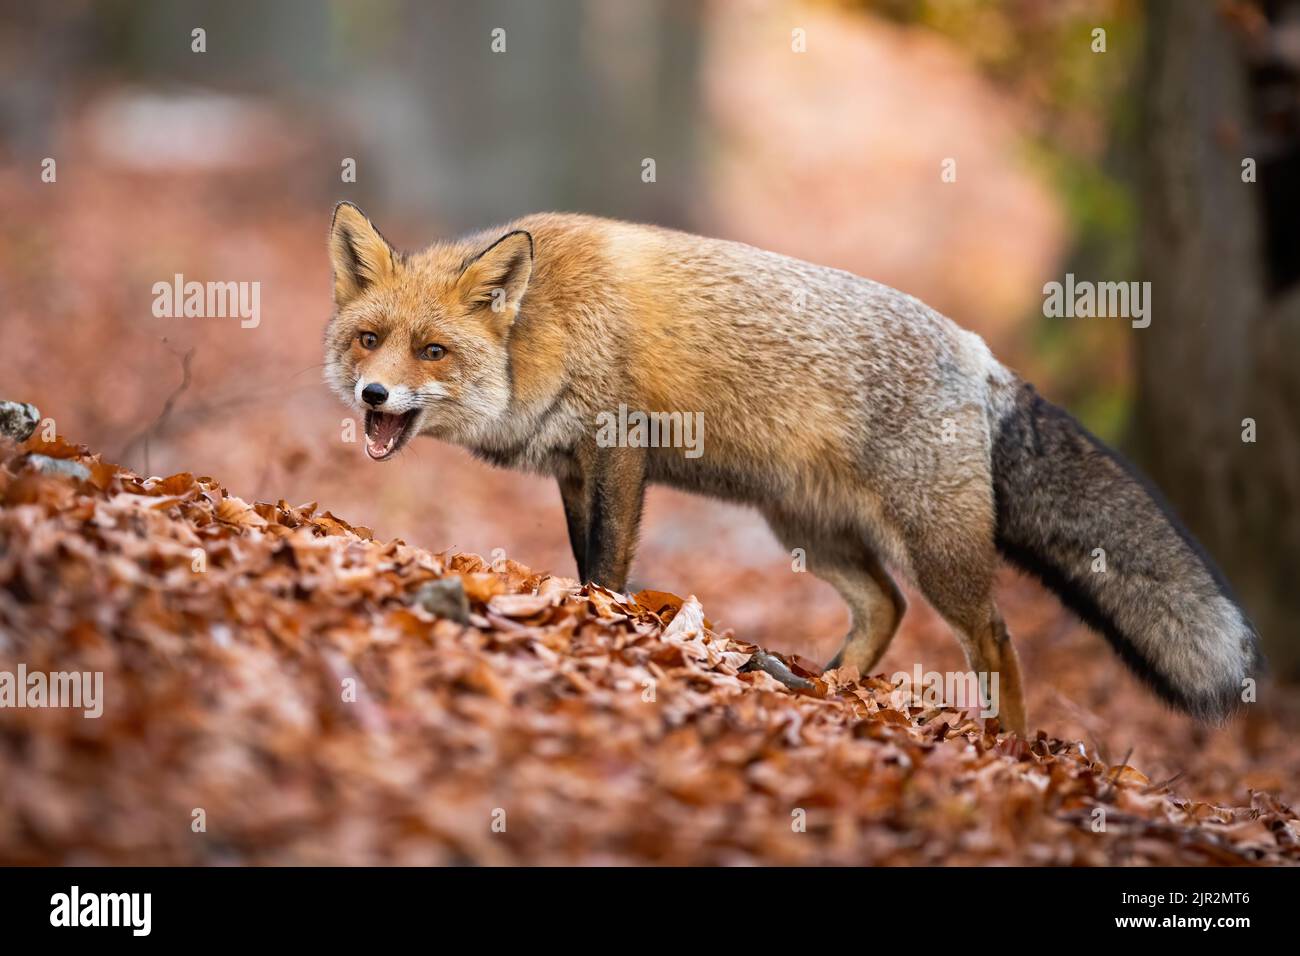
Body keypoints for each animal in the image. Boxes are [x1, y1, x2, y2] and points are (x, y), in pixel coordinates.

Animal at [322, 201, 1259, 736]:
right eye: (369, 339)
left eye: (433, 351)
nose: (373, 393)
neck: (542, 323)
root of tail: (984, 360)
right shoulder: (571, 466)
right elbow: (584, 555)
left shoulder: (620, 447)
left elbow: (606, 564)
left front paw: (604, 625)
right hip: (806, 528)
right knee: (884, 608)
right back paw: (832, 690)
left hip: (935, 550)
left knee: (994, 637)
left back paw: (1011, 749)